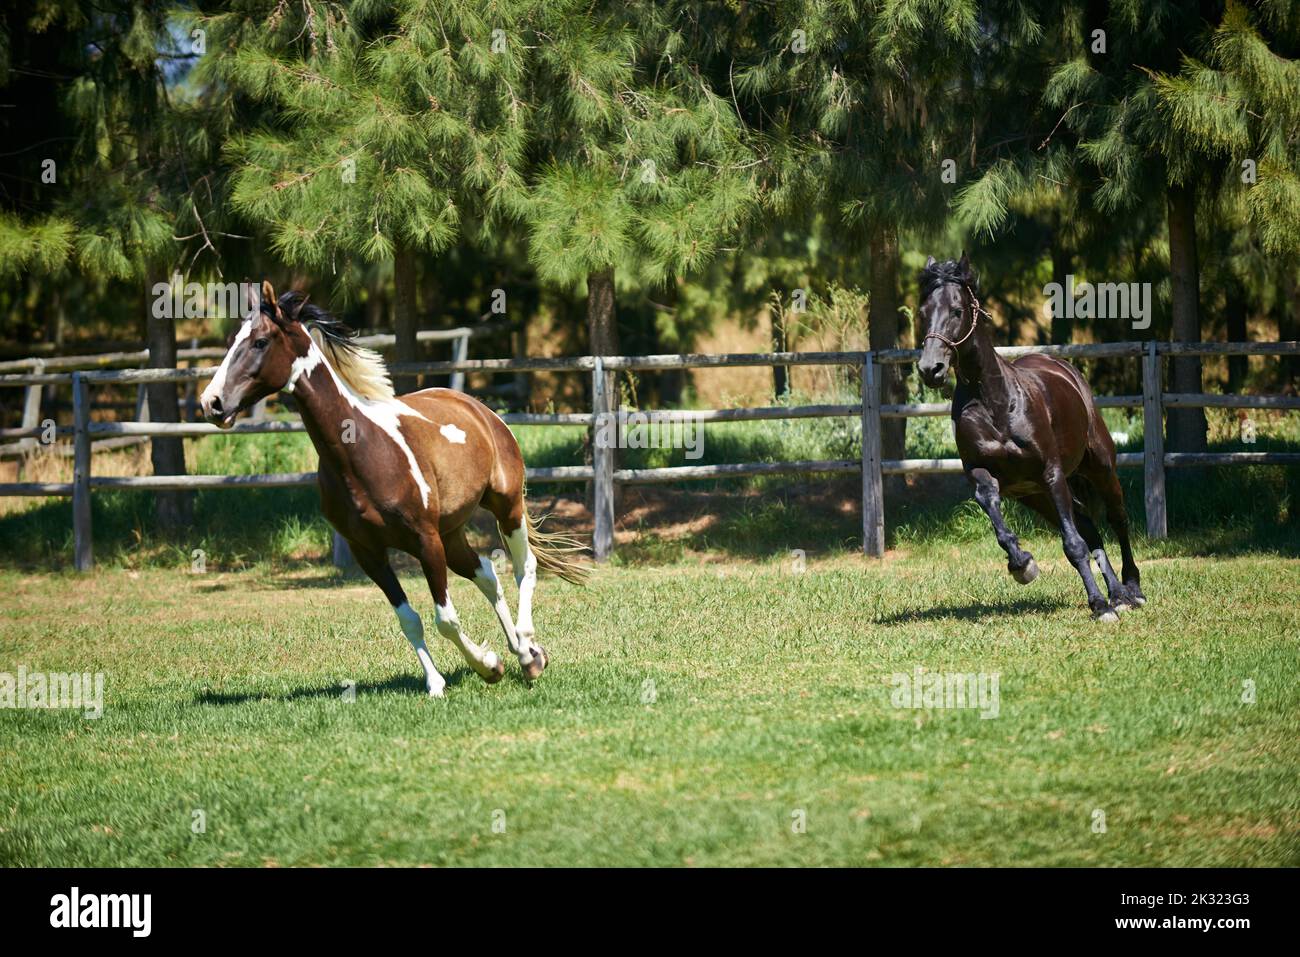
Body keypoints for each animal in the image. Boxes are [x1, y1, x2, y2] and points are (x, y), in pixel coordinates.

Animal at [199, 281, 585, 696]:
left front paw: (487, 665)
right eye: (232, 340)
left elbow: (445, 619)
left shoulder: (425, 541)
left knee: (523, 567)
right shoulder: (369, 553)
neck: (361, 453)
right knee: (486, 574)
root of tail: (479, 408)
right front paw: (440, 681)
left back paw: (529, 652)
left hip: (505, 505)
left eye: (260, 341)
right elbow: (409, 619)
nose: (211, 402)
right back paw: (523, 652)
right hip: (451, 533)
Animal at [915, 255, 1146, 621]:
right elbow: (994, 511)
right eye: (923, 311)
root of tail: (1061, 366)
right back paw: (1117, 594)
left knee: (1116, 519)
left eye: (956, 310)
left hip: (1098, 467)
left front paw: (1099, 607)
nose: (930, 369)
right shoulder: (984, 475)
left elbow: (1073, 545)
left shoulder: (1051, 474)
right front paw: (1022, 565)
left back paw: (1132, 591)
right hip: (1036, 495)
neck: (995, 401)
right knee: (1088, 526)